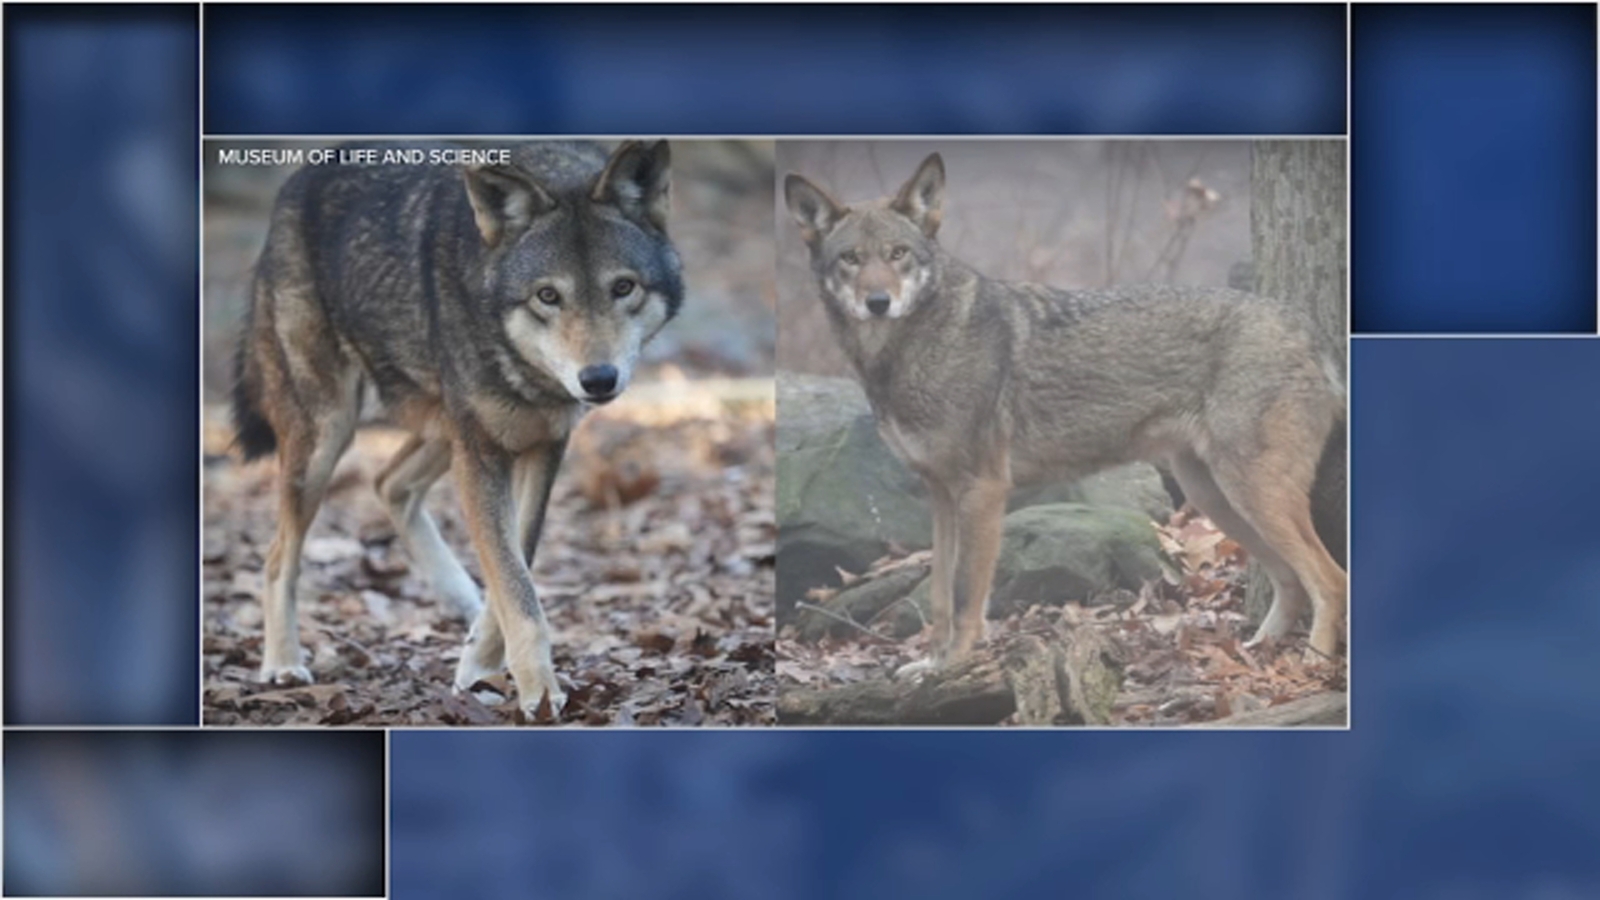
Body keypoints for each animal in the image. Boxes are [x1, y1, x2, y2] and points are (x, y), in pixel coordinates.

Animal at [232, 140, 682, 716]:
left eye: (623, 287)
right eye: (547, 296)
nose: (597, 379)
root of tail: (306, 172)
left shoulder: (542, 446)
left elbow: (517, 560)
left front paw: (478, 665)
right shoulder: (484, 453)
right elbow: (515, 585)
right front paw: (539, 693)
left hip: (445, 430)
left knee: (388, 483)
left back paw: (459, 597)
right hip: (329, 436)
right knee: (276, 558)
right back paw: (283, 664)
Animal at [784, 154, 1346, 673]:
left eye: (897, 254)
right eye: (851, 259)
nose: (878, 302)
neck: (910, 351)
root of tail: (1302, 323)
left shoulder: (984, 491)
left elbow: (966, 596)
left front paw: (956, 664)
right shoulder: (940, 496)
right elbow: (942, 594)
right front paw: (932, 664)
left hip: (1250, 494)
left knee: (1330, 580)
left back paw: (1313, 663)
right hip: (1218, 498)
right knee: (1292, 582)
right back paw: (1258, 651)